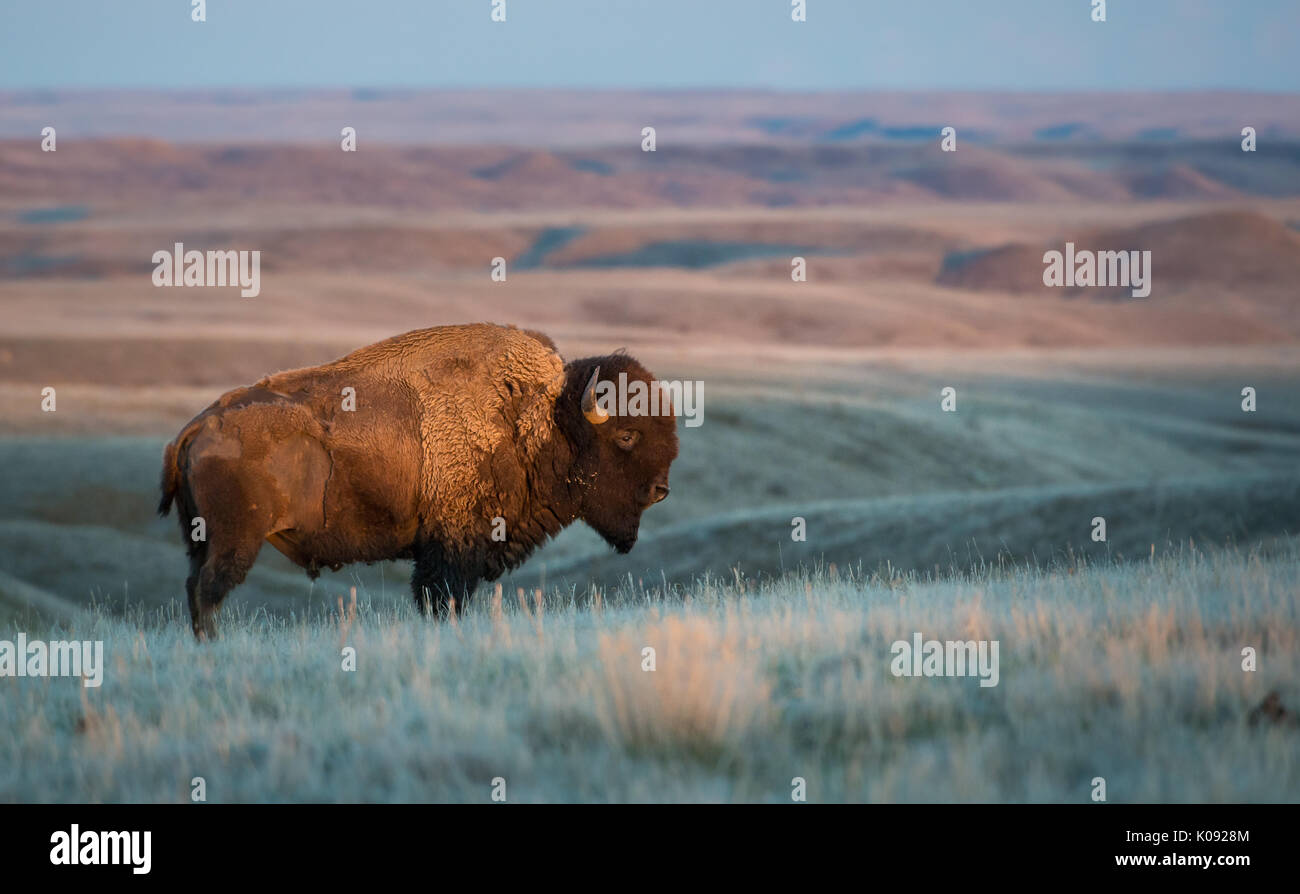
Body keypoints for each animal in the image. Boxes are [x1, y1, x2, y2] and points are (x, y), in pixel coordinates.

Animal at [158, 323, 678, 639]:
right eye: (627, 435)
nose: (661, 491)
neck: (539, 418)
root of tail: (196, 428)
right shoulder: (452, 548)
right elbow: (442, 598)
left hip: (201, 541)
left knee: (195, 588)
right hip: (235, 541)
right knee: (209, 591)